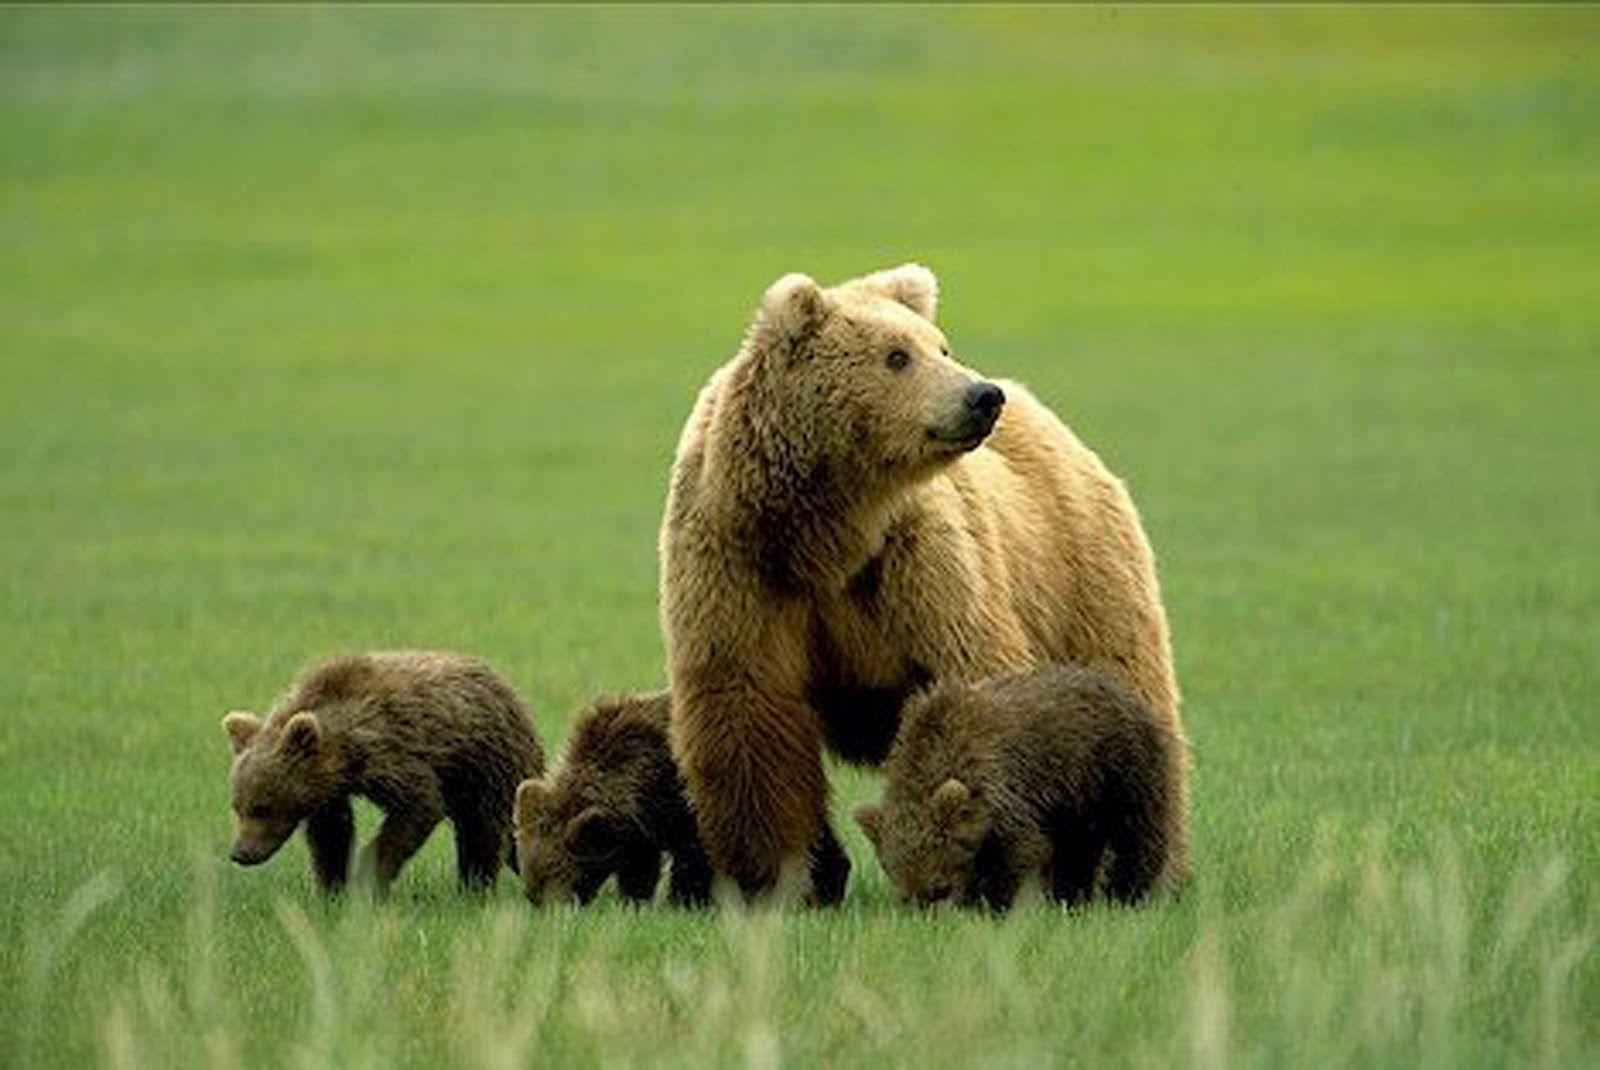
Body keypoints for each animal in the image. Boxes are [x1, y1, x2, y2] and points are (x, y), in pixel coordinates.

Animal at [222, 651, 544, 895]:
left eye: (262, 807)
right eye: (237, 807)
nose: (240, 853)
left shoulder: (391, 752)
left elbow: (417, 806)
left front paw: (368, 879)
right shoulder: (329, 789)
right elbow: (331, 834)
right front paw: (331, 888)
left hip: (486, 763)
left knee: (486, 830)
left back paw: (476, 888)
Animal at [514, 692, 851, 907]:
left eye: (561, 879)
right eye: (532, 884)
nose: (543, 906)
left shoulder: (682, 806)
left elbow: (692, 858)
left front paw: (685, 901)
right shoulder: (639, 831)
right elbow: (639, 868)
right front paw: (635, 901)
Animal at [854, 662, 1184, 911]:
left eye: (940, 887)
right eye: (907, 893)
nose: (929, 909)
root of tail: (1125, 689)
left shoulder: (1007, 790)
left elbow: (1018, 851)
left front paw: (993, 904)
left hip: (1122, 770)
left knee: (1138, 835)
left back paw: (1127, 894)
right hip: (1078, 801)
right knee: (1079, 850)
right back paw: (1073, 898)